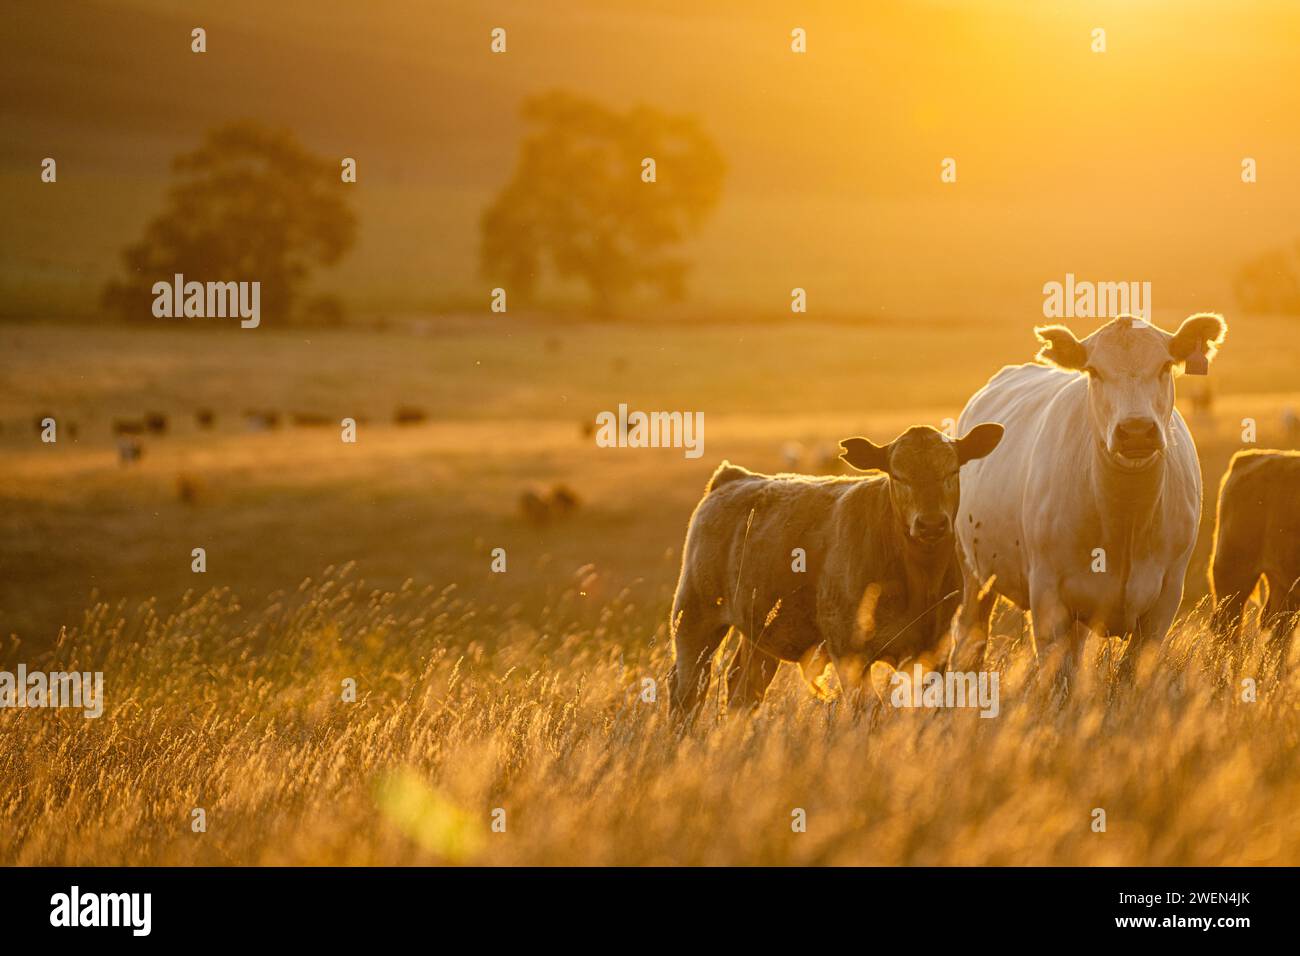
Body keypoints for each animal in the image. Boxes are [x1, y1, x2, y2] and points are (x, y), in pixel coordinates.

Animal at [668, 423, 1005, 720]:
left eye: (952, 471)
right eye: (898, 476)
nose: (931, 524)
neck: (919, 579)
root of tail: (734, 478)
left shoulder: (933, 652)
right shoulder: (847, 650)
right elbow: (869, 709)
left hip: (759, 632)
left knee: (743, 688)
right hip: (695, 616)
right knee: (686, 688)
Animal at [954, 313, 1227, 677]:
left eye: (1166, 366)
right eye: (1094, 371)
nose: (1136, 430)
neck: (1125, 515)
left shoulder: (1165, 599)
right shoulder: (1048, 596)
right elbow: (1059, 674)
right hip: (973, 573)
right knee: (970, 636)